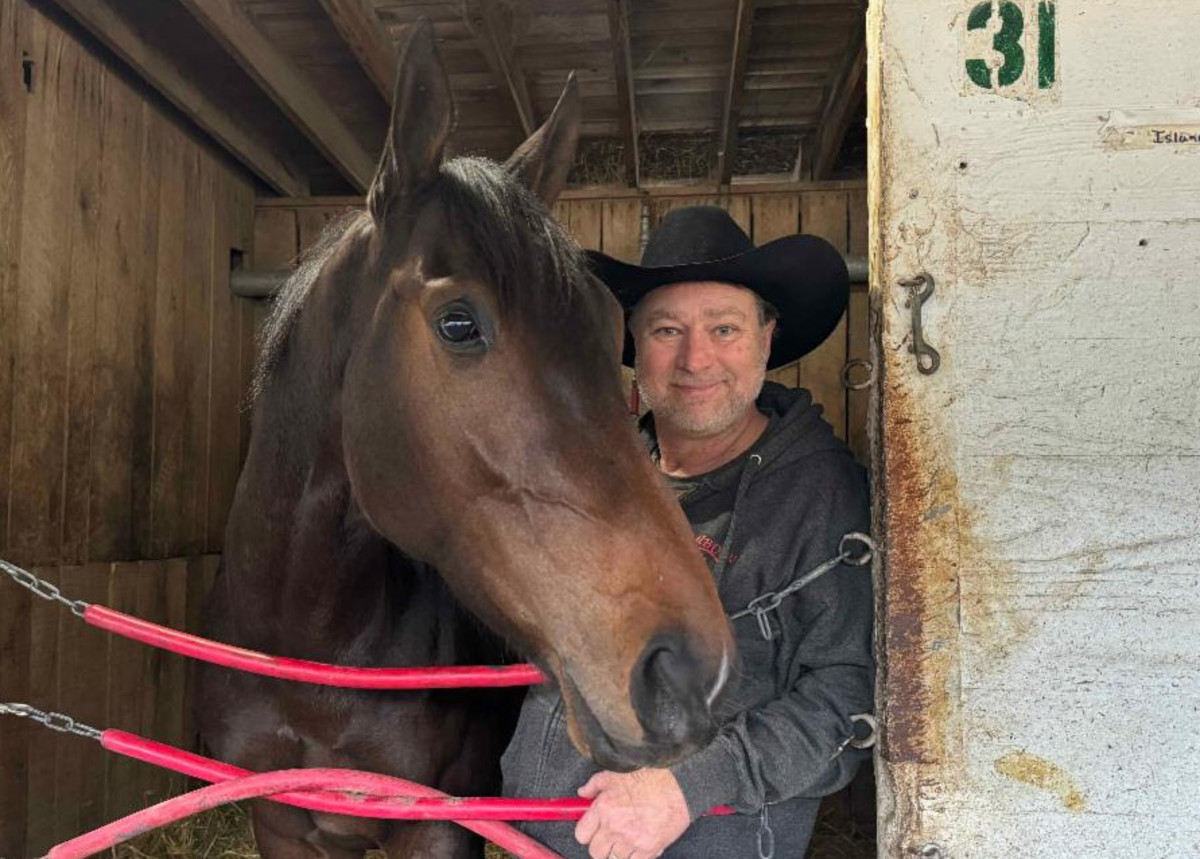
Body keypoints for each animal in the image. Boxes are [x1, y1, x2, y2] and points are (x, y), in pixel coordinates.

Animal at [196, 20, 736, 859]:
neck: (315, 645)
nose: (687, 670)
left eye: (612, 325)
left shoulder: (442, 822)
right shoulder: (279, 819)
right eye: (458, 323)